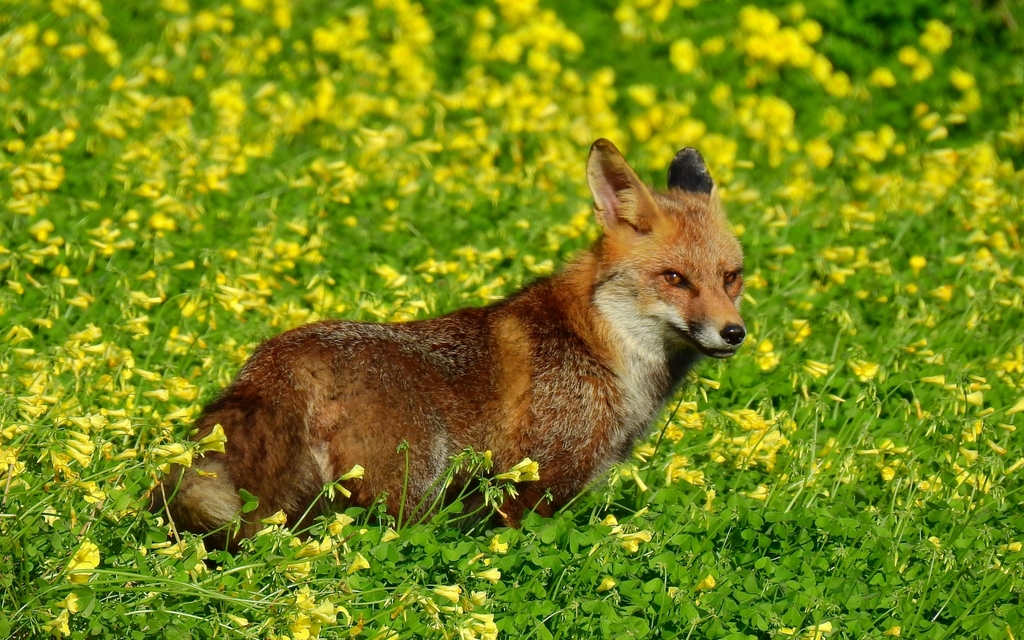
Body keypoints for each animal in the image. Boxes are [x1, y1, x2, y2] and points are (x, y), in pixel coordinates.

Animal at [155, 139, 746, 547]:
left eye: (732, 277)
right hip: (414, 486)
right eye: (674, 279)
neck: (598, 345)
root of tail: (274, 360)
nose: (734, 332)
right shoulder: (532, 484)